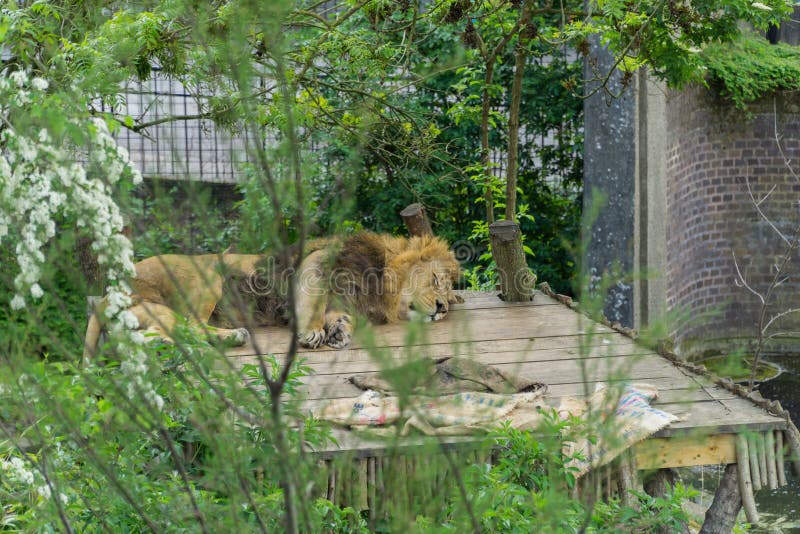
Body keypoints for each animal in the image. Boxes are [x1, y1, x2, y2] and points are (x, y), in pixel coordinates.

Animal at [83, 231, 461, 359]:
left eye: (447, 292)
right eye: (437, 279)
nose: (442, 307)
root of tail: (107, 293)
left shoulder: (345, 298)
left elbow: (337, 314)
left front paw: (339, 331)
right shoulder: (320, 259)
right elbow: (313, 300)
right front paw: (312, 331)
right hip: (208, 280)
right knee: (183, 325)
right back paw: (231, 335)